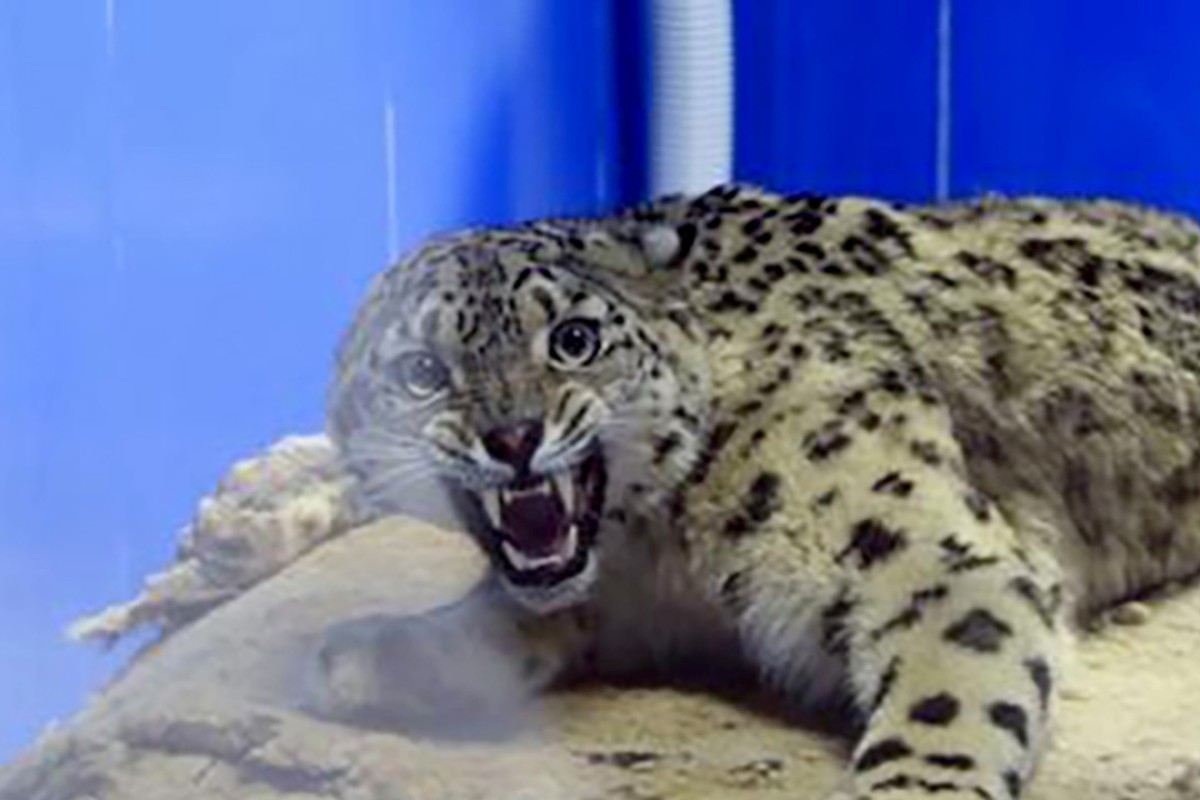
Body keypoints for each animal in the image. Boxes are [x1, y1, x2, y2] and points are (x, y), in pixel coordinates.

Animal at [318, 183, 1200, 799]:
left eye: (574, 338)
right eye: (421, 372)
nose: (512, 438)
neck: (659, 545)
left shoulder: (919, 546)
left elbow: (952, 684)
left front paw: (914, 785)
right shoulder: (618, 605)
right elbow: (501, 624)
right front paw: (362, 654)